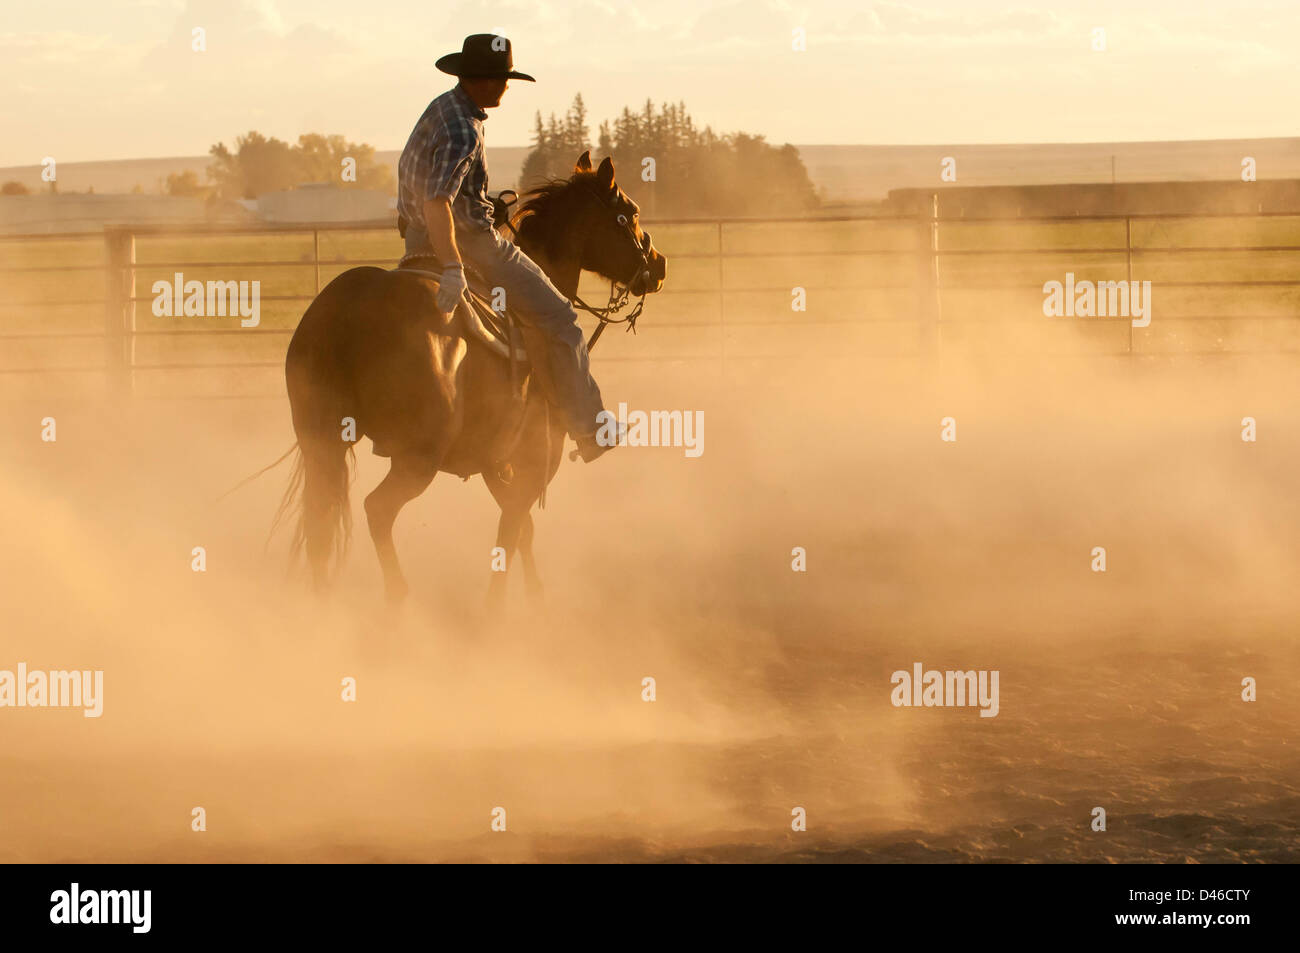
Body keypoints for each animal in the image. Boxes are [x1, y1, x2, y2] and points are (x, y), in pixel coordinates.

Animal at [280, 151, 667, 605]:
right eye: (631, 213)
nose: (659, 264)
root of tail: (349, 306)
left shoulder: (493, 461)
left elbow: (521, 529)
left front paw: (534, 596)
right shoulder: (537, 458)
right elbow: (512, 527)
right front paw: (498, 608)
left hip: (322, 442)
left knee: (320, 521)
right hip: (417, 457)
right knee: (377, 510)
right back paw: (397, 598)